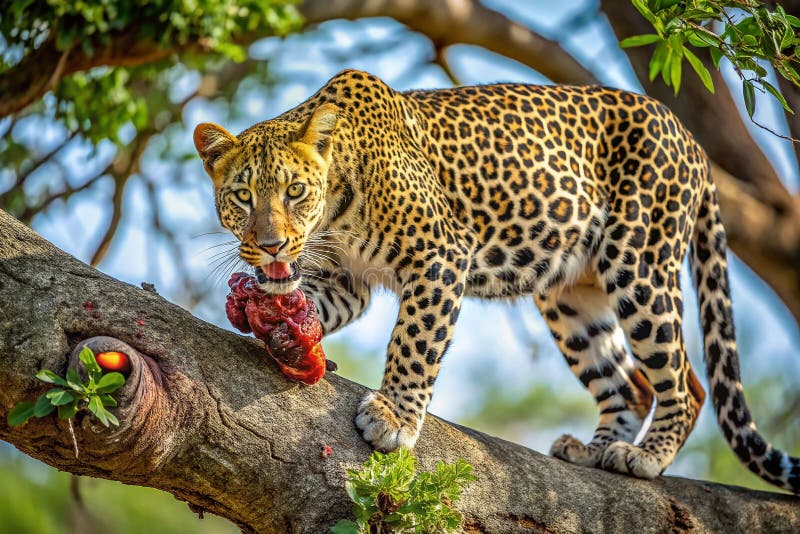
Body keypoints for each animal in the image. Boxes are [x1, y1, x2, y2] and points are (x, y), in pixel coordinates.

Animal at [193, 69, 799, 493]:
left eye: (295, 191)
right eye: (242, 196)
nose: (272, 245)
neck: (337, 201)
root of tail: (689, 137)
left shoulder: (439, 255)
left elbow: (415, 342)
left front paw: (395, 418)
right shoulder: (348, 278)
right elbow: (312, 306)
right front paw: (279, 328)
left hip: (641, 264)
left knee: (684, 382)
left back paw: (645, 456)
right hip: (570, 297)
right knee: (630, 383)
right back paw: (593, 450)